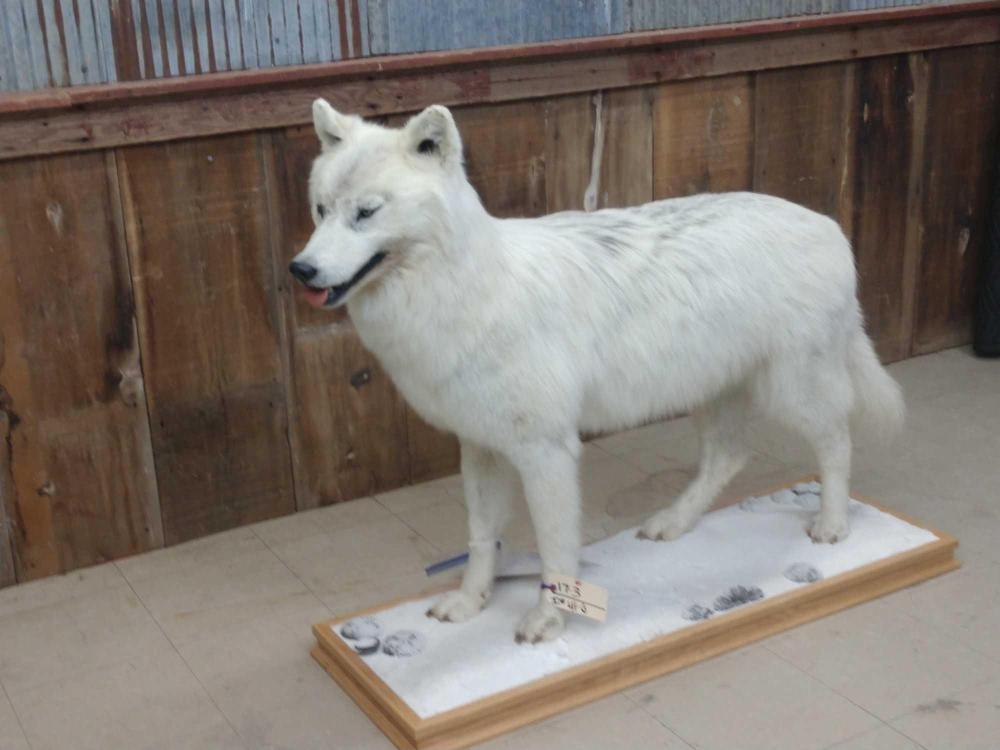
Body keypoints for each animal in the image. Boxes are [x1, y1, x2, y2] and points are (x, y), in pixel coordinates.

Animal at [289, 100, 904, 644]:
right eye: (321, 210)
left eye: (366, 212)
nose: (302, 270)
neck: (467, 293)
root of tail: (829, 224)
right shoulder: (480, 448)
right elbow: (482, 539)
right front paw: (468, 605)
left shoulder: (547, 453)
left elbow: (555, 550)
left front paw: (548, 622)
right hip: (713, 396)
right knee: (729, 458)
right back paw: (671, 524)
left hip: (793, 392)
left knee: (837, 441)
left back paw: (832, 525)